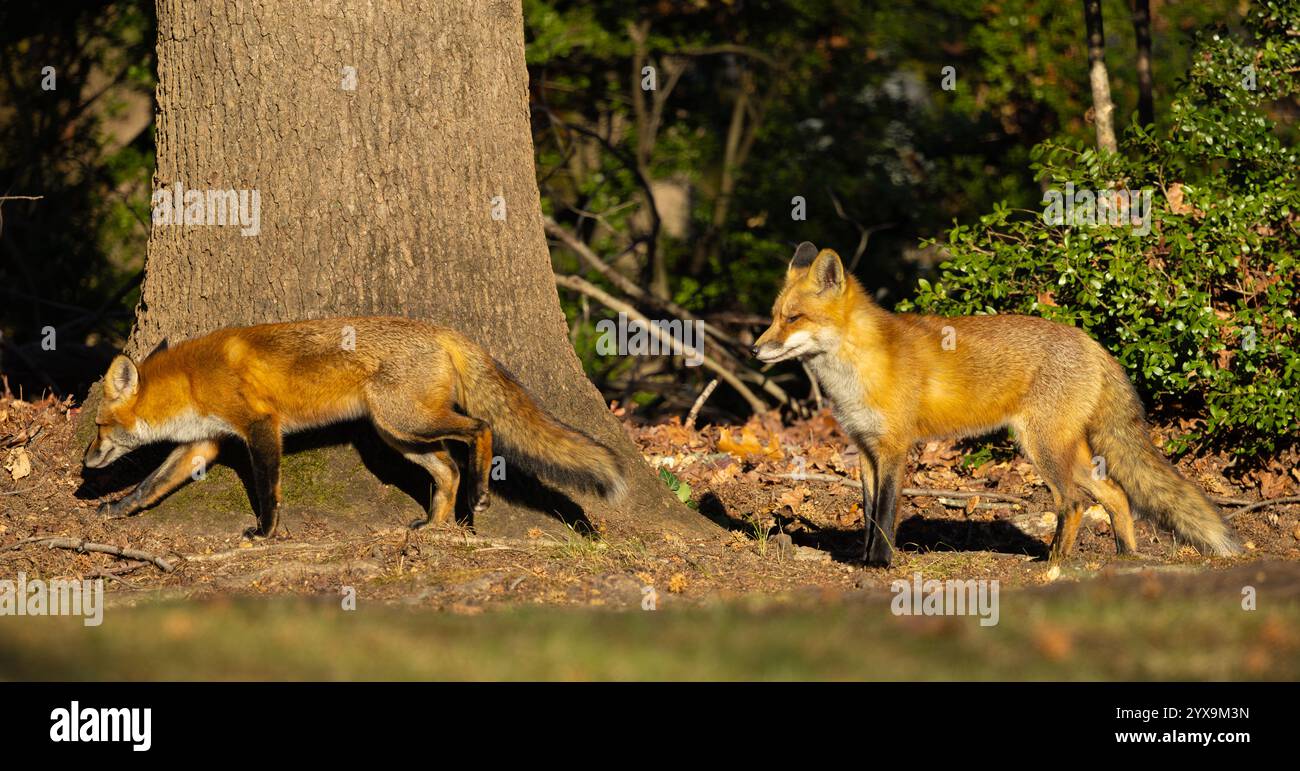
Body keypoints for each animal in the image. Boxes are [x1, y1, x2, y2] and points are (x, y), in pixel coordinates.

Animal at [82, 316, 628, 537]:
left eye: (99, 425)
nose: (85, 463)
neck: (193, 382)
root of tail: (441, 330)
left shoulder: (261, 426)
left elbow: (267, 487)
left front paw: (266, 531)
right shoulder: (203, 443)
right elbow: (149, 485)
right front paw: (114, 510)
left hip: (404, 421)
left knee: (478, 428)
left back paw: (479, 494)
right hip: (396, 433)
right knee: (446, 469)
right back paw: (435, 524)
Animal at [752, 242, 1240, 566]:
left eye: (793, 318)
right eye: (774, 316)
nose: (756, 350)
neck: (857, 367)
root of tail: (1091, 342)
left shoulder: (894, 448)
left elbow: (887, 513)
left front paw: (879, 565)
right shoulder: (866, 449)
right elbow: (871, 513)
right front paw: (862, 558)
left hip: (1042, 448)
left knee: (1075, 502)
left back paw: (1054, 564)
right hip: (1068, 451)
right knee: (1115, 494)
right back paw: (1124, 556)